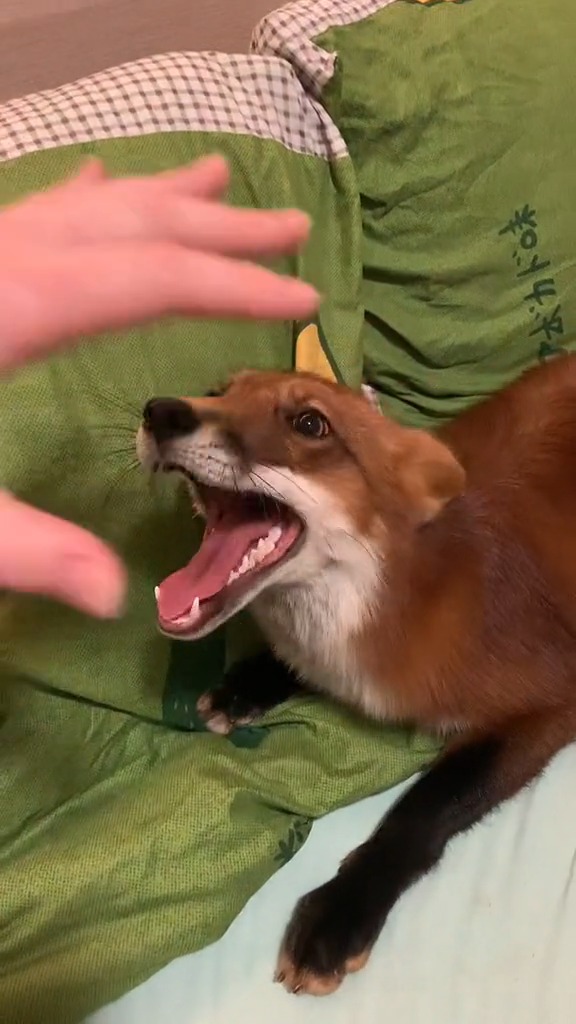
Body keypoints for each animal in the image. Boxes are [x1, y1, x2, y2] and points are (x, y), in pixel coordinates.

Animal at [137, 353, 576, 996]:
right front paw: (249, 687)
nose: (162, 411)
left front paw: (343, 910)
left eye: (309, 424)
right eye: (217, 391)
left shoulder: (549, 699)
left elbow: (425, 808)